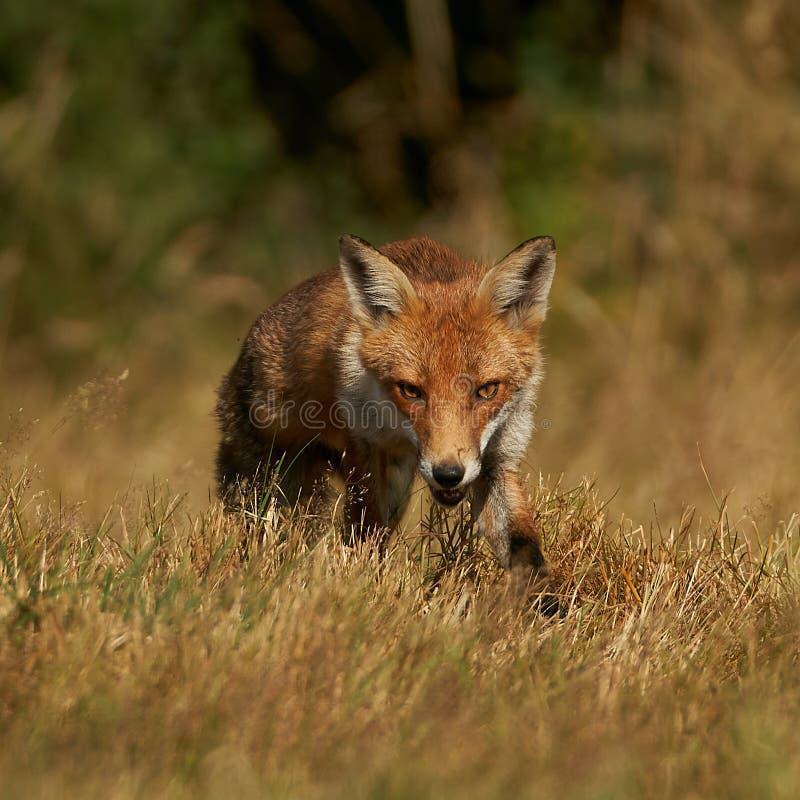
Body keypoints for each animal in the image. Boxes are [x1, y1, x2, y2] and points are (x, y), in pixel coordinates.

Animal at [215, 234, 556, 584]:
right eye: (410, 390)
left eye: (487, 390)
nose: (448, 474)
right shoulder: (365, 451)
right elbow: (365, 533)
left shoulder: (495, 460)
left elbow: (526, 551)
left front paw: (540, 597)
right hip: (273, 483)